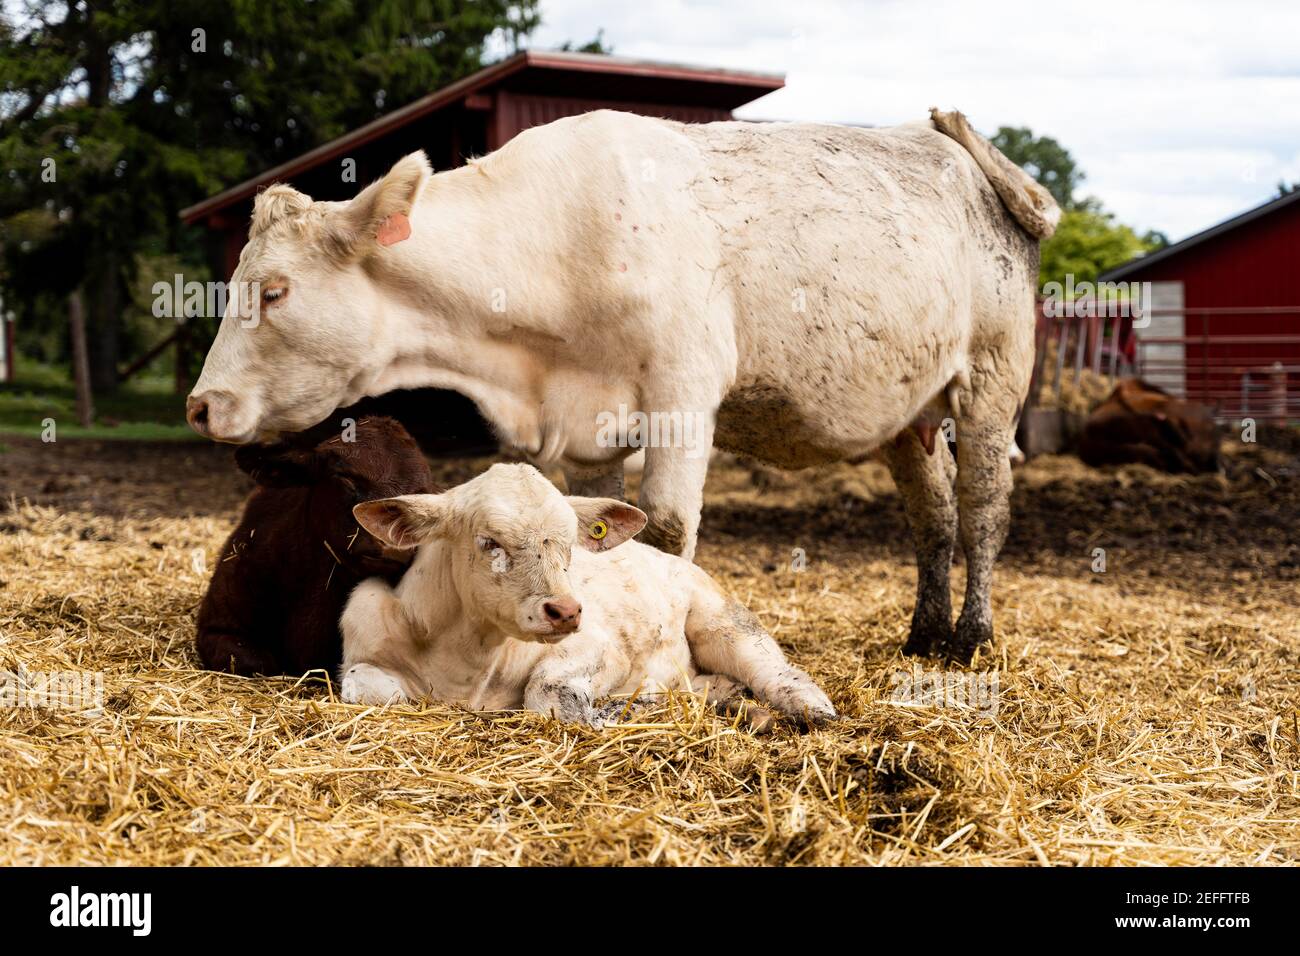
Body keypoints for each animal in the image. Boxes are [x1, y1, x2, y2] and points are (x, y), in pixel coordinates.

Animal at [339, 462, 836, 729]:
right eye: (489, 542)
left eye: (568, 546)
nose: (566, 611)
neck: (467, 665)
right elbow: (364, 689)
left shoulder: (598, 646)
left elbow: (547, 692)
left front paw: (611, 709)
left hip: (723, 620)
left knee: (775, 672)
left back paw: (812, 708)